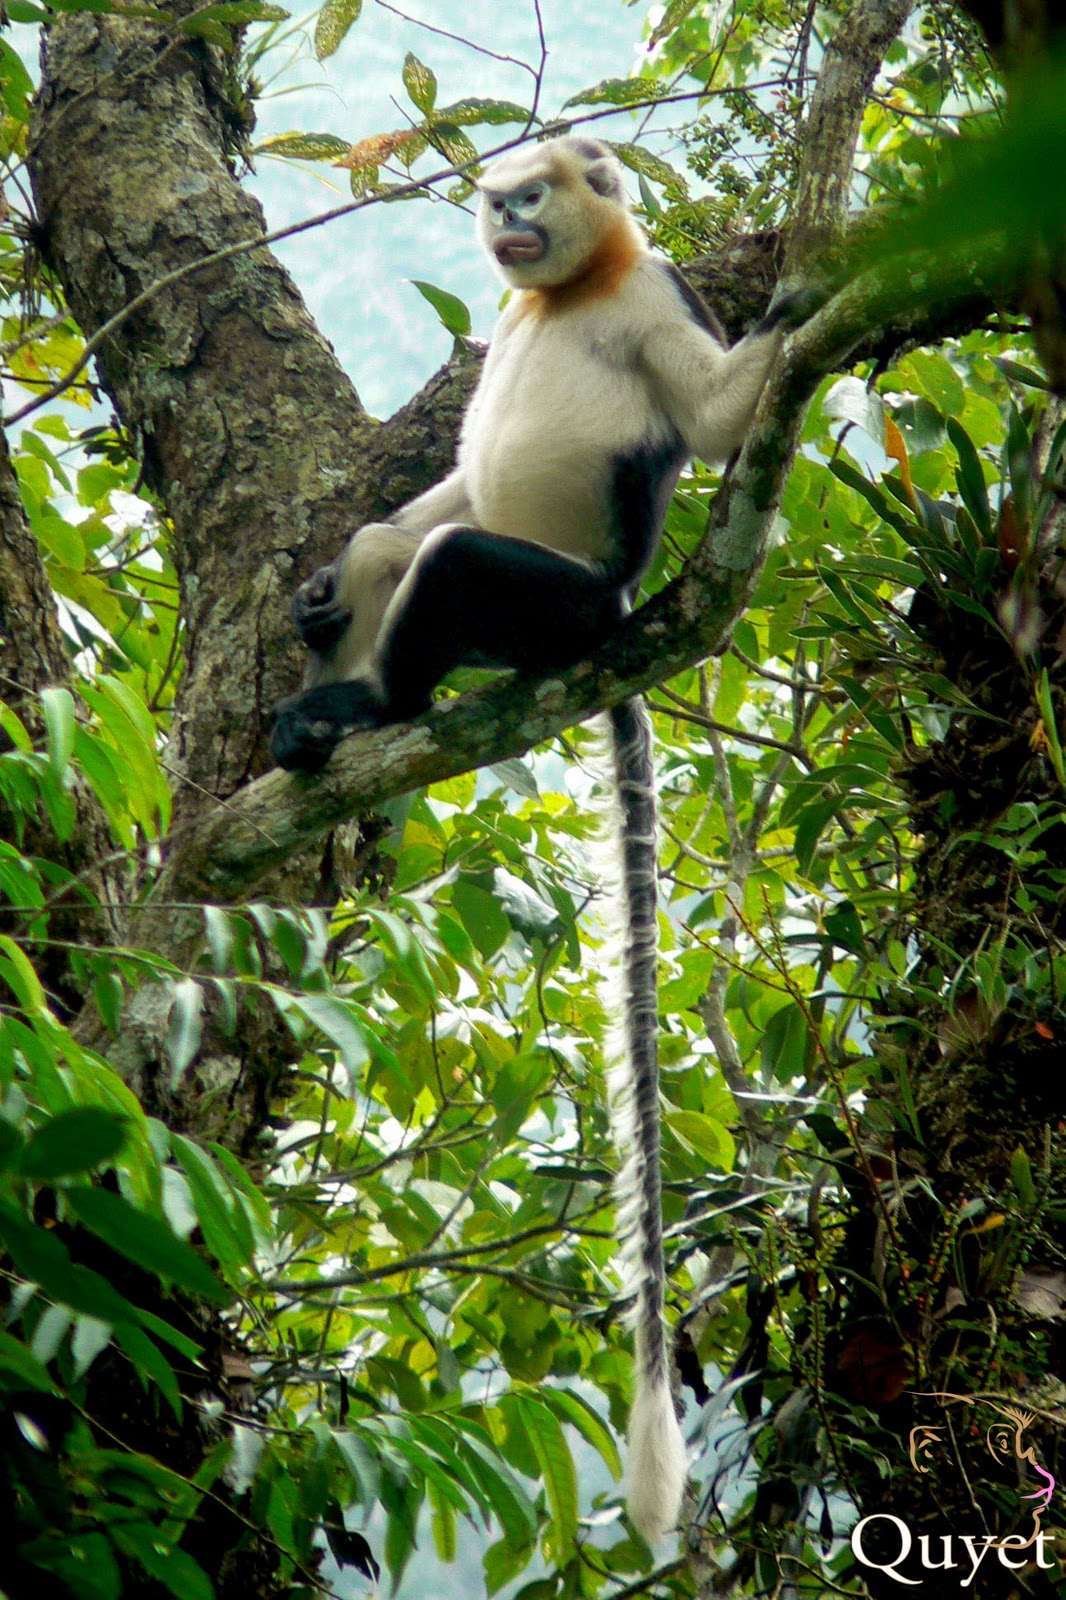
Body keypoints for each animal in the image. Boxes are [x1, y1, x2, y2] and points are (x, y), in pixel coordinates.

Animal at [271, 135, 812, 1541]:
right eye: (498, 196)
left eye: (535, 193)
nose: (507, 217)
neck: (565, 295)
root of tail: (615, 620)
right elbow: (418, 502)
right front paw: (322, 586)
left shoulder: (658, 293)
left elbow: (721, 423)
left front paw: (798, 305)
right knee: (399, 543)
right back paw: (332, 695)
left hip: (561, 610)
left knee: (458, 560)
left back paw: (373, 707)